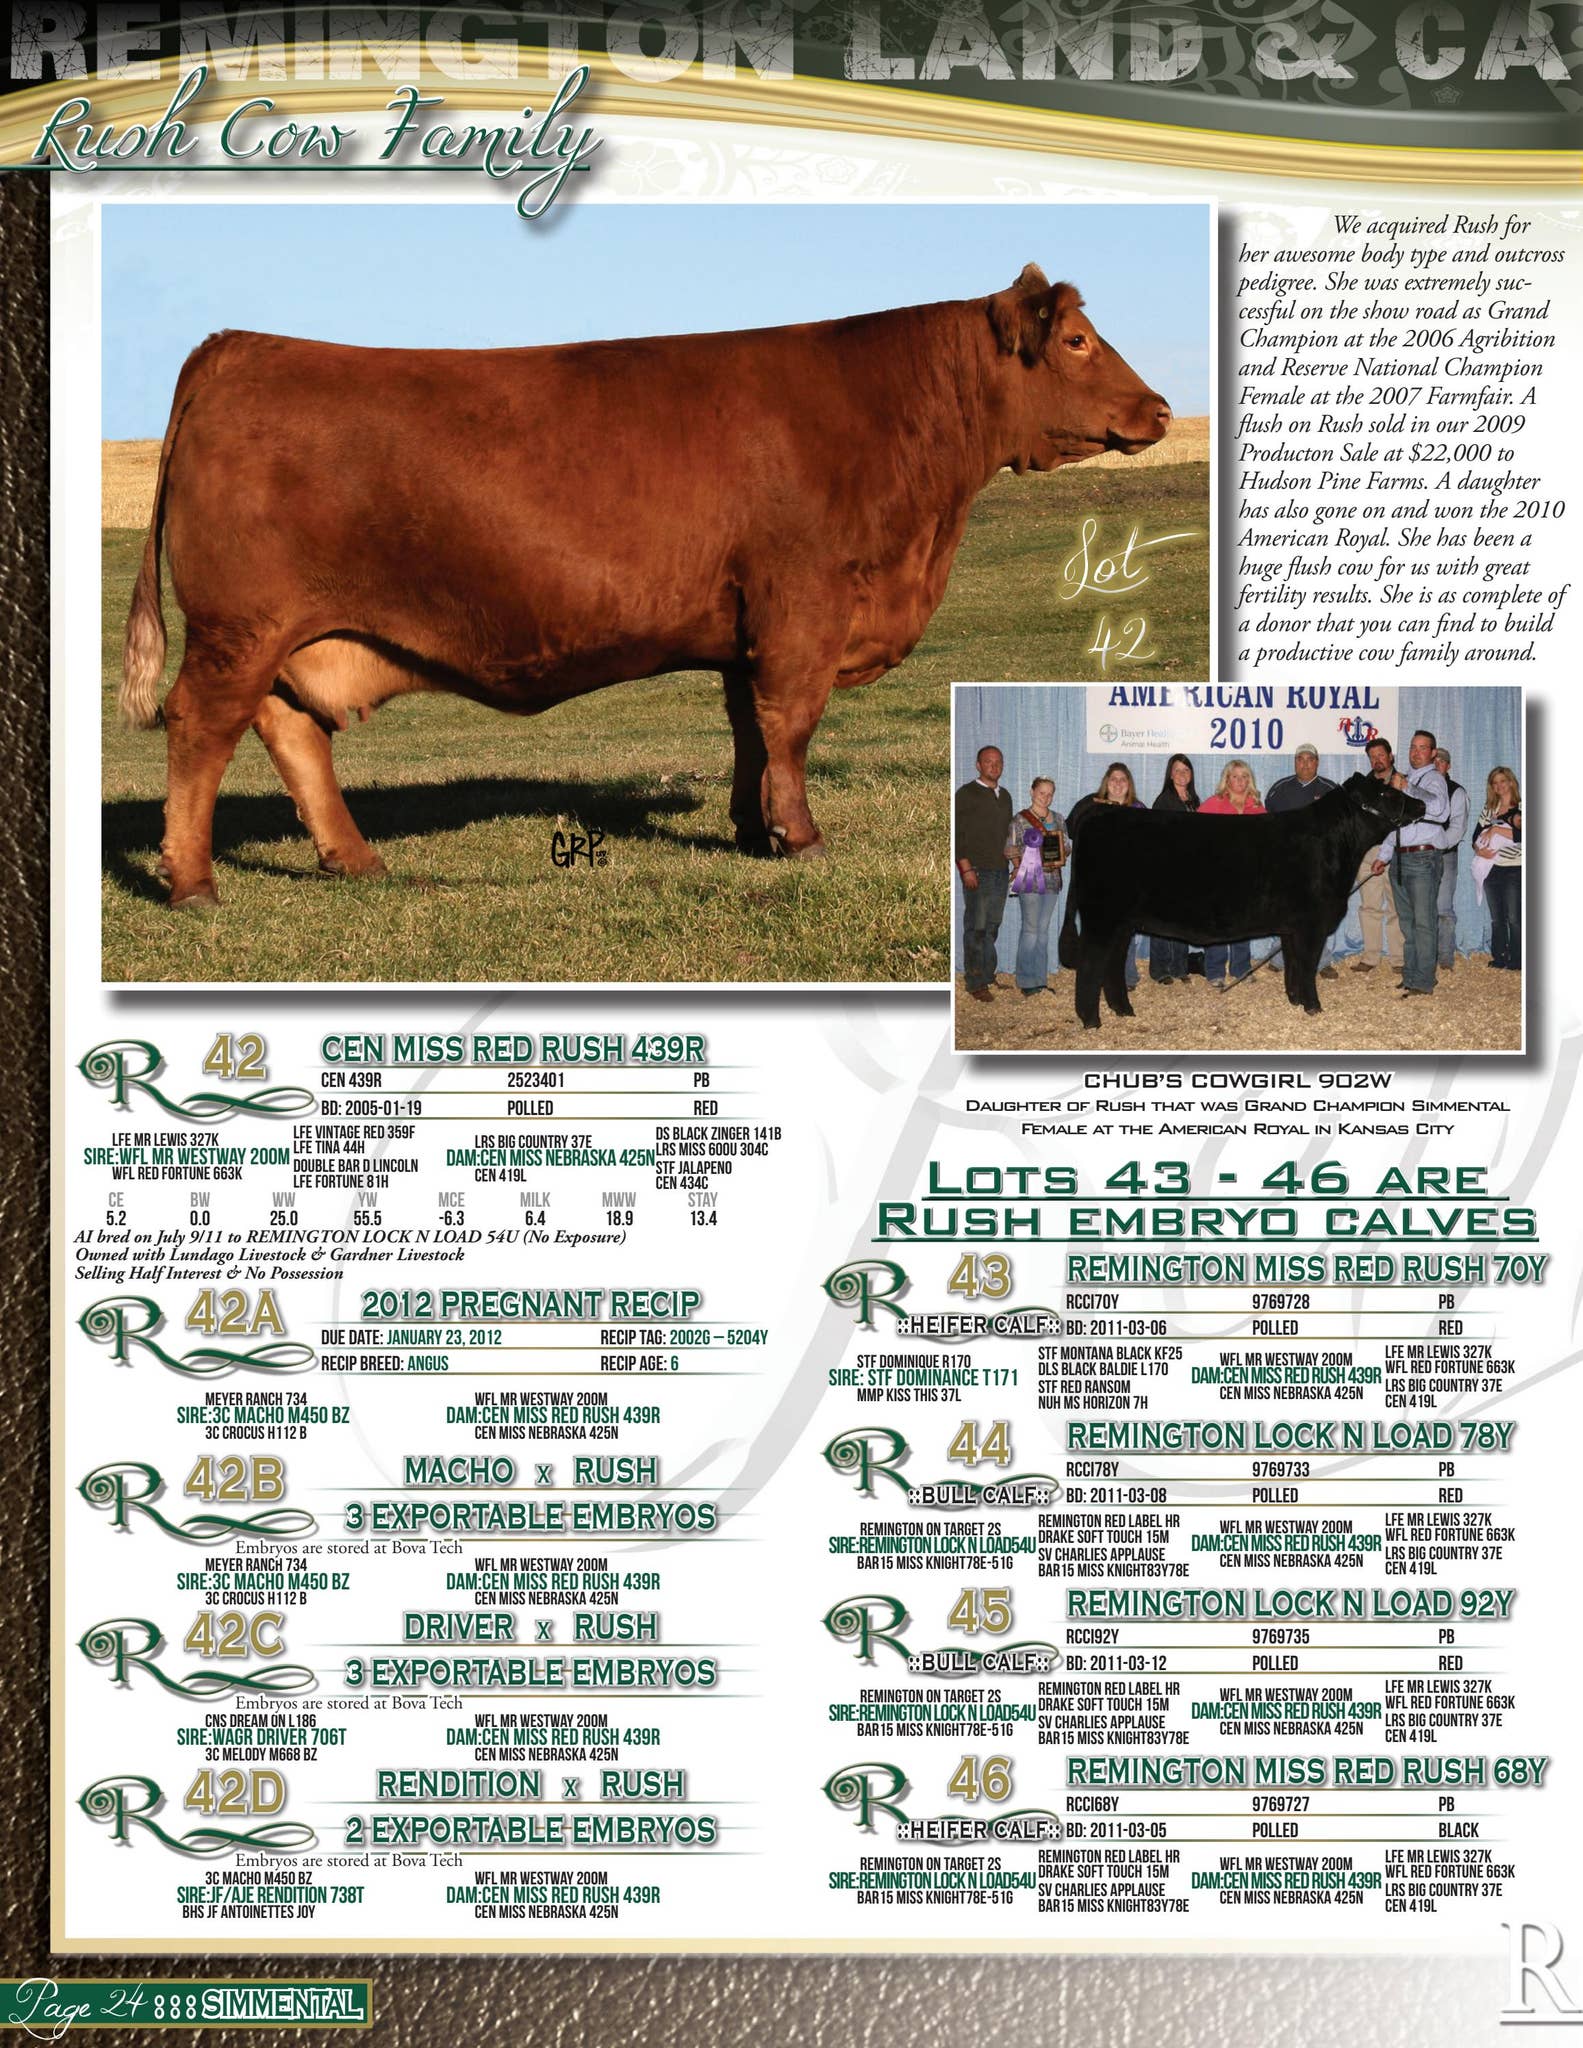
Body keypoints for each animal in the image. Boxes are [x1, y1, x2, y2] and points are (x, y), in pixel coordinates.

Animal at [120, 266, 1172, 908]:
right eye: (1078, 340)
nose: (1159, 410)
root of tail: (240, 344)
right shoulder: (803, 606)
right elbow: (791, 723)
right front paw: (802, 837)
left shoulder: (746, 628)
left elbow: (750, 729)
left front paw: (752, 830)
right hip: (238, 627)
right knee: (201, 728)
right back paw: (192, 881)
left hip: (284, 636)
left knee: (290, 729)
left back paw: (356, 859)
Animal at [1056, 773, 1427, 1029]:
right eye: (1385, 792)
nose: (1421, 804)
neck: (1335, 842)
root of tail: (1098, 813)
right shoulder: (1312, 923)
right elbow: (1307, 965)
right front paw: (1313, 1006)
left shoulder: (1292, 927)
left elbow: (1293, 964)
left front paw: (1294, 1000)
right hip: (1101, 919)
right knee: (1090, 966)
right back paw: (1091, 1020)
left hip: (1122, 924)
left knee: (1113, 965)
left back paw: (1124, 1011)